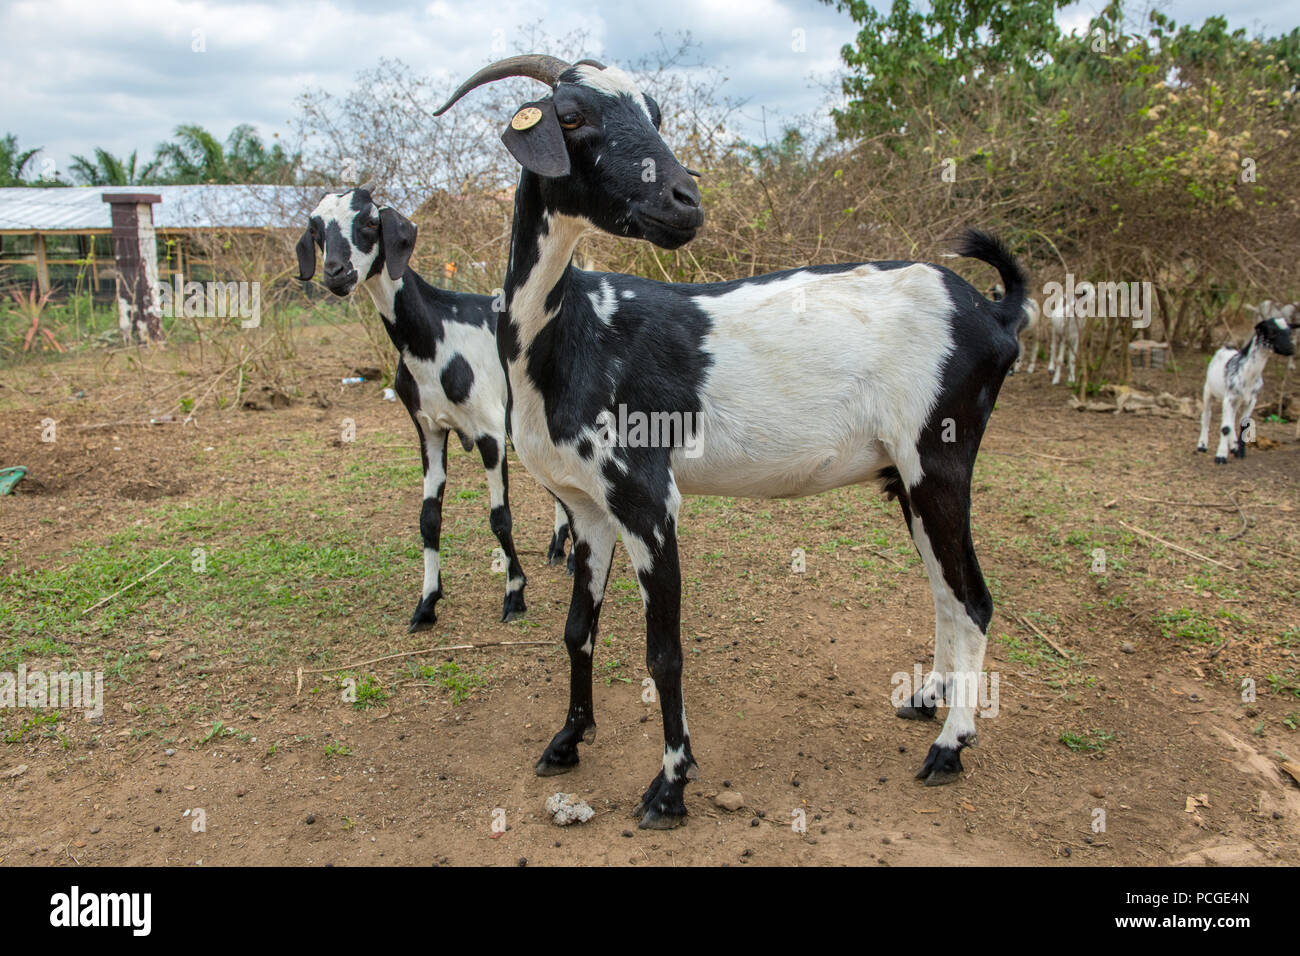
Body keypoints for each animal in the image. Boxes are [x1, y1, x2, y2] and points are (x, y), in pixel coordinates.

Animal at [295, 188, 572, 629]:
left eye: (370, 221)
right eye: (317, 230)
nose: (336, 273)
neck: (434, 336)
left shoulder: (489, 433)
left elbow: (500, 517)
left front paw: (514, 595)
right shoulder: (429, 430)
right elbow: (429, 519)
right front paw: (427, 603)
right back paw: (561, 548)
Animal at [436, 54, 1028, 829]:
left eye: (654, 112)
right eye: (571, 116)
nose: (686, 201)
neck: (572, 332)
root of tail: (992, 313)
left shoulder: (647, 498)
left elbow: (664, 653)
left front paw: (669, 787)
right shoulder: (588, 507)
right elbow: (576, 629)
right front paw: (567, 740)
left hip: (942, 457)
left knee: (974, 598)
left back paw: (951, 746)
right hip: (905, 473)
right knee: (944, 591)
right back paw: (927, 700)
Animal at [1196, 315, 1296, 462]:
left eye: (1289, 332)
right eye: (1272, 332)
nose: (1291, 348)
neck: (1247, 375)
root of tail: (1226, 347)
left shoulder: (1251, 400)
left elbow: (1244, 425)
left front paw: (1240, 452)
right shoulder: (1228, 398)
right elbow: (1225, 428)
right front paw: (1221, 456)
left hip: (1236, 401)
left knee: (1231, 419)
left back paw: (1233, 447)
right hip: (1208, 390)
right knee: (1207, 416)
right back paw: (1202, 445)